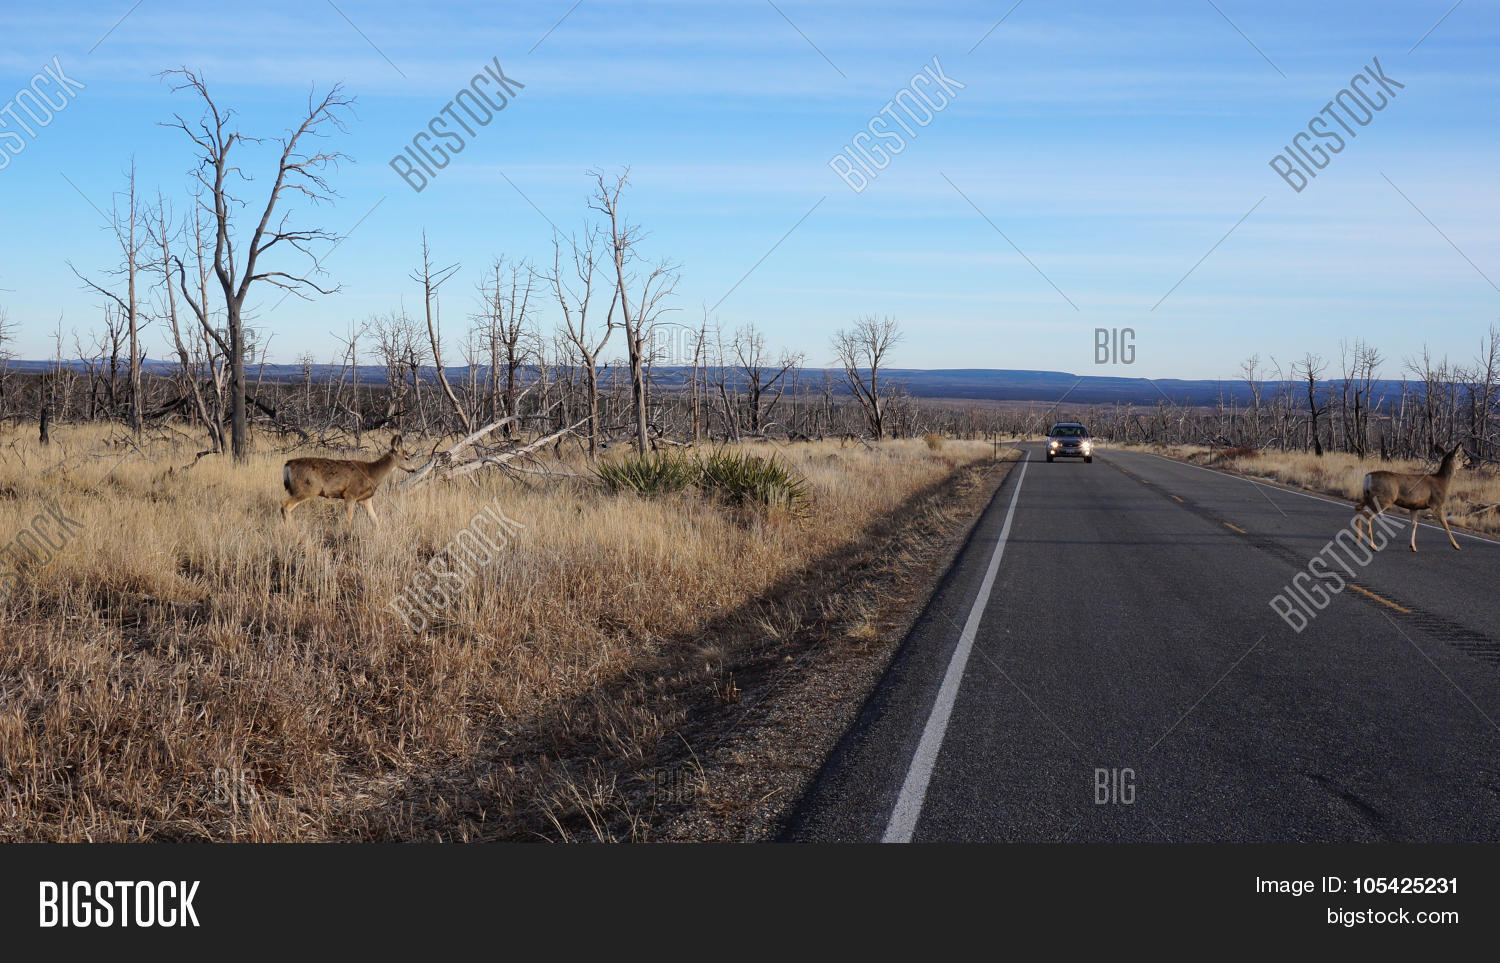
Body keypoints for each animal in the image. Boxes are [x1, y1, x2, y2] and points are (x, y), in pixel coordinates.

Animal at [280, 434, 413, 531]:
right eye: (407, 458)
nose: (414, 469)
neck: (373, 473)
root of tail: (287, 465)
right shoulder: (350, 494)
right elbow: (349, 518)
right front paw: (348, 535)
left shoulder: (366, 499)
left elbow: (375, 520)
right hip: (307, 489)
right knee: (285, 505)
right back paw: (294, 531)